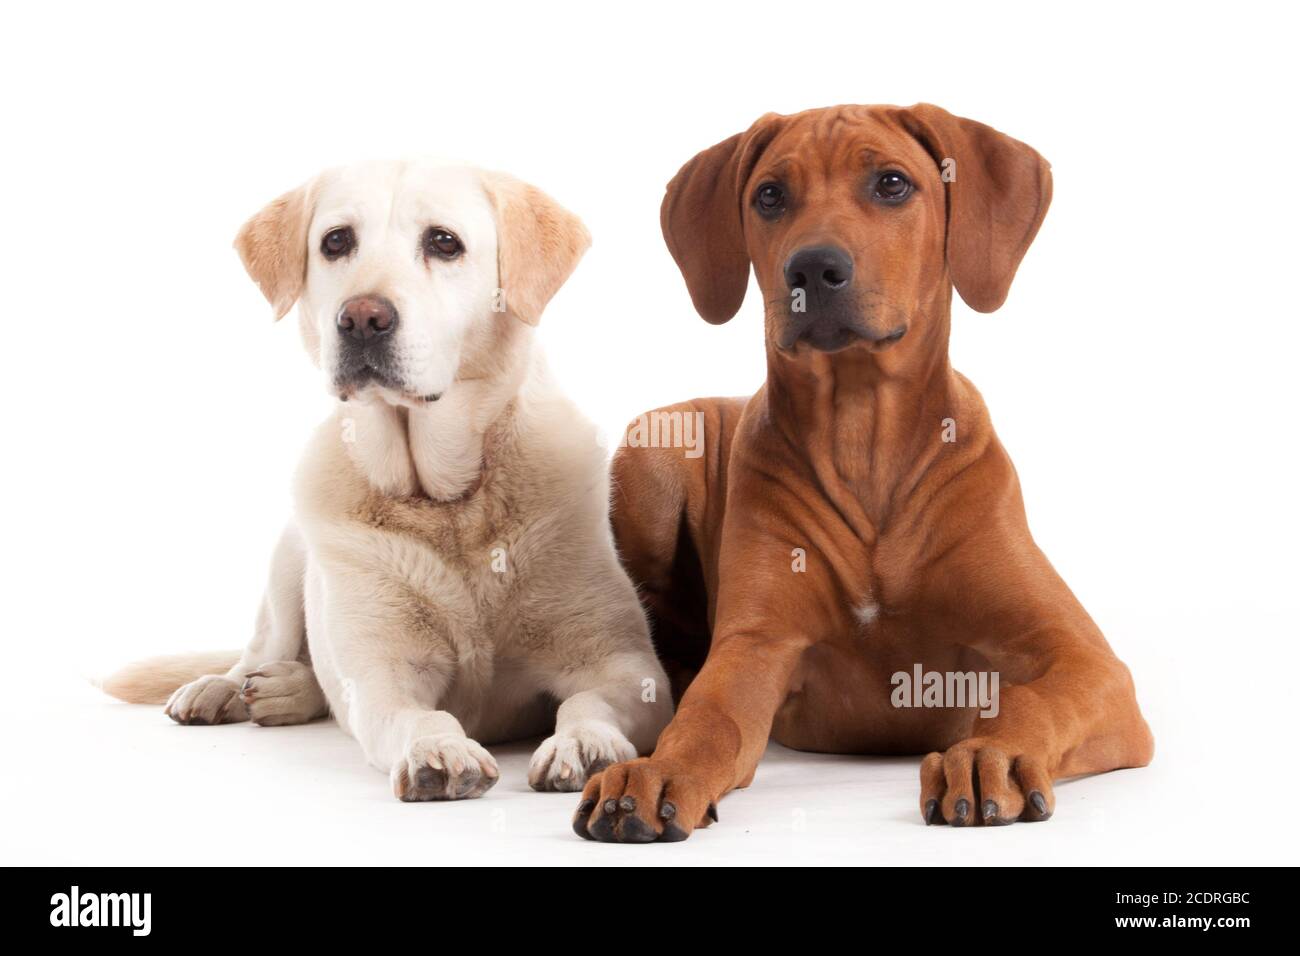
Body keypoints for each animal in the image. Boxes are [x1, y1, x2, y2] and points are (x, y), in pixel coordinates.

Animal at [104, 162, 670, 801]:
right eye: (335, 242)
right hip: (288, 559)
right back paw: (227, 687)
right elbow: (418, 714)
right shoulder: (383, 678)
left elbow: (586, 702)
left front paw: (584, 742)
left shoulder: (629, 670)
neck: (446, 500)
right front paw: (438, 750)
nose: (361, 319)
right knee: (264, 650)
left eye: (444, 242)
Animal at [574, 100, 1154, 842]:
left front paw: (990, 755)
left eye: (892, 184)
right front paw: (659, 770)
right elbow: (709, 719)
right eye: (770, 195)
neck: (862, 435)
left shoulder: (1086, 661)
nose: (812, 268)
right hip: (652, 455)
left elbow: (1034, 703)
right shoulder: (754, 646)